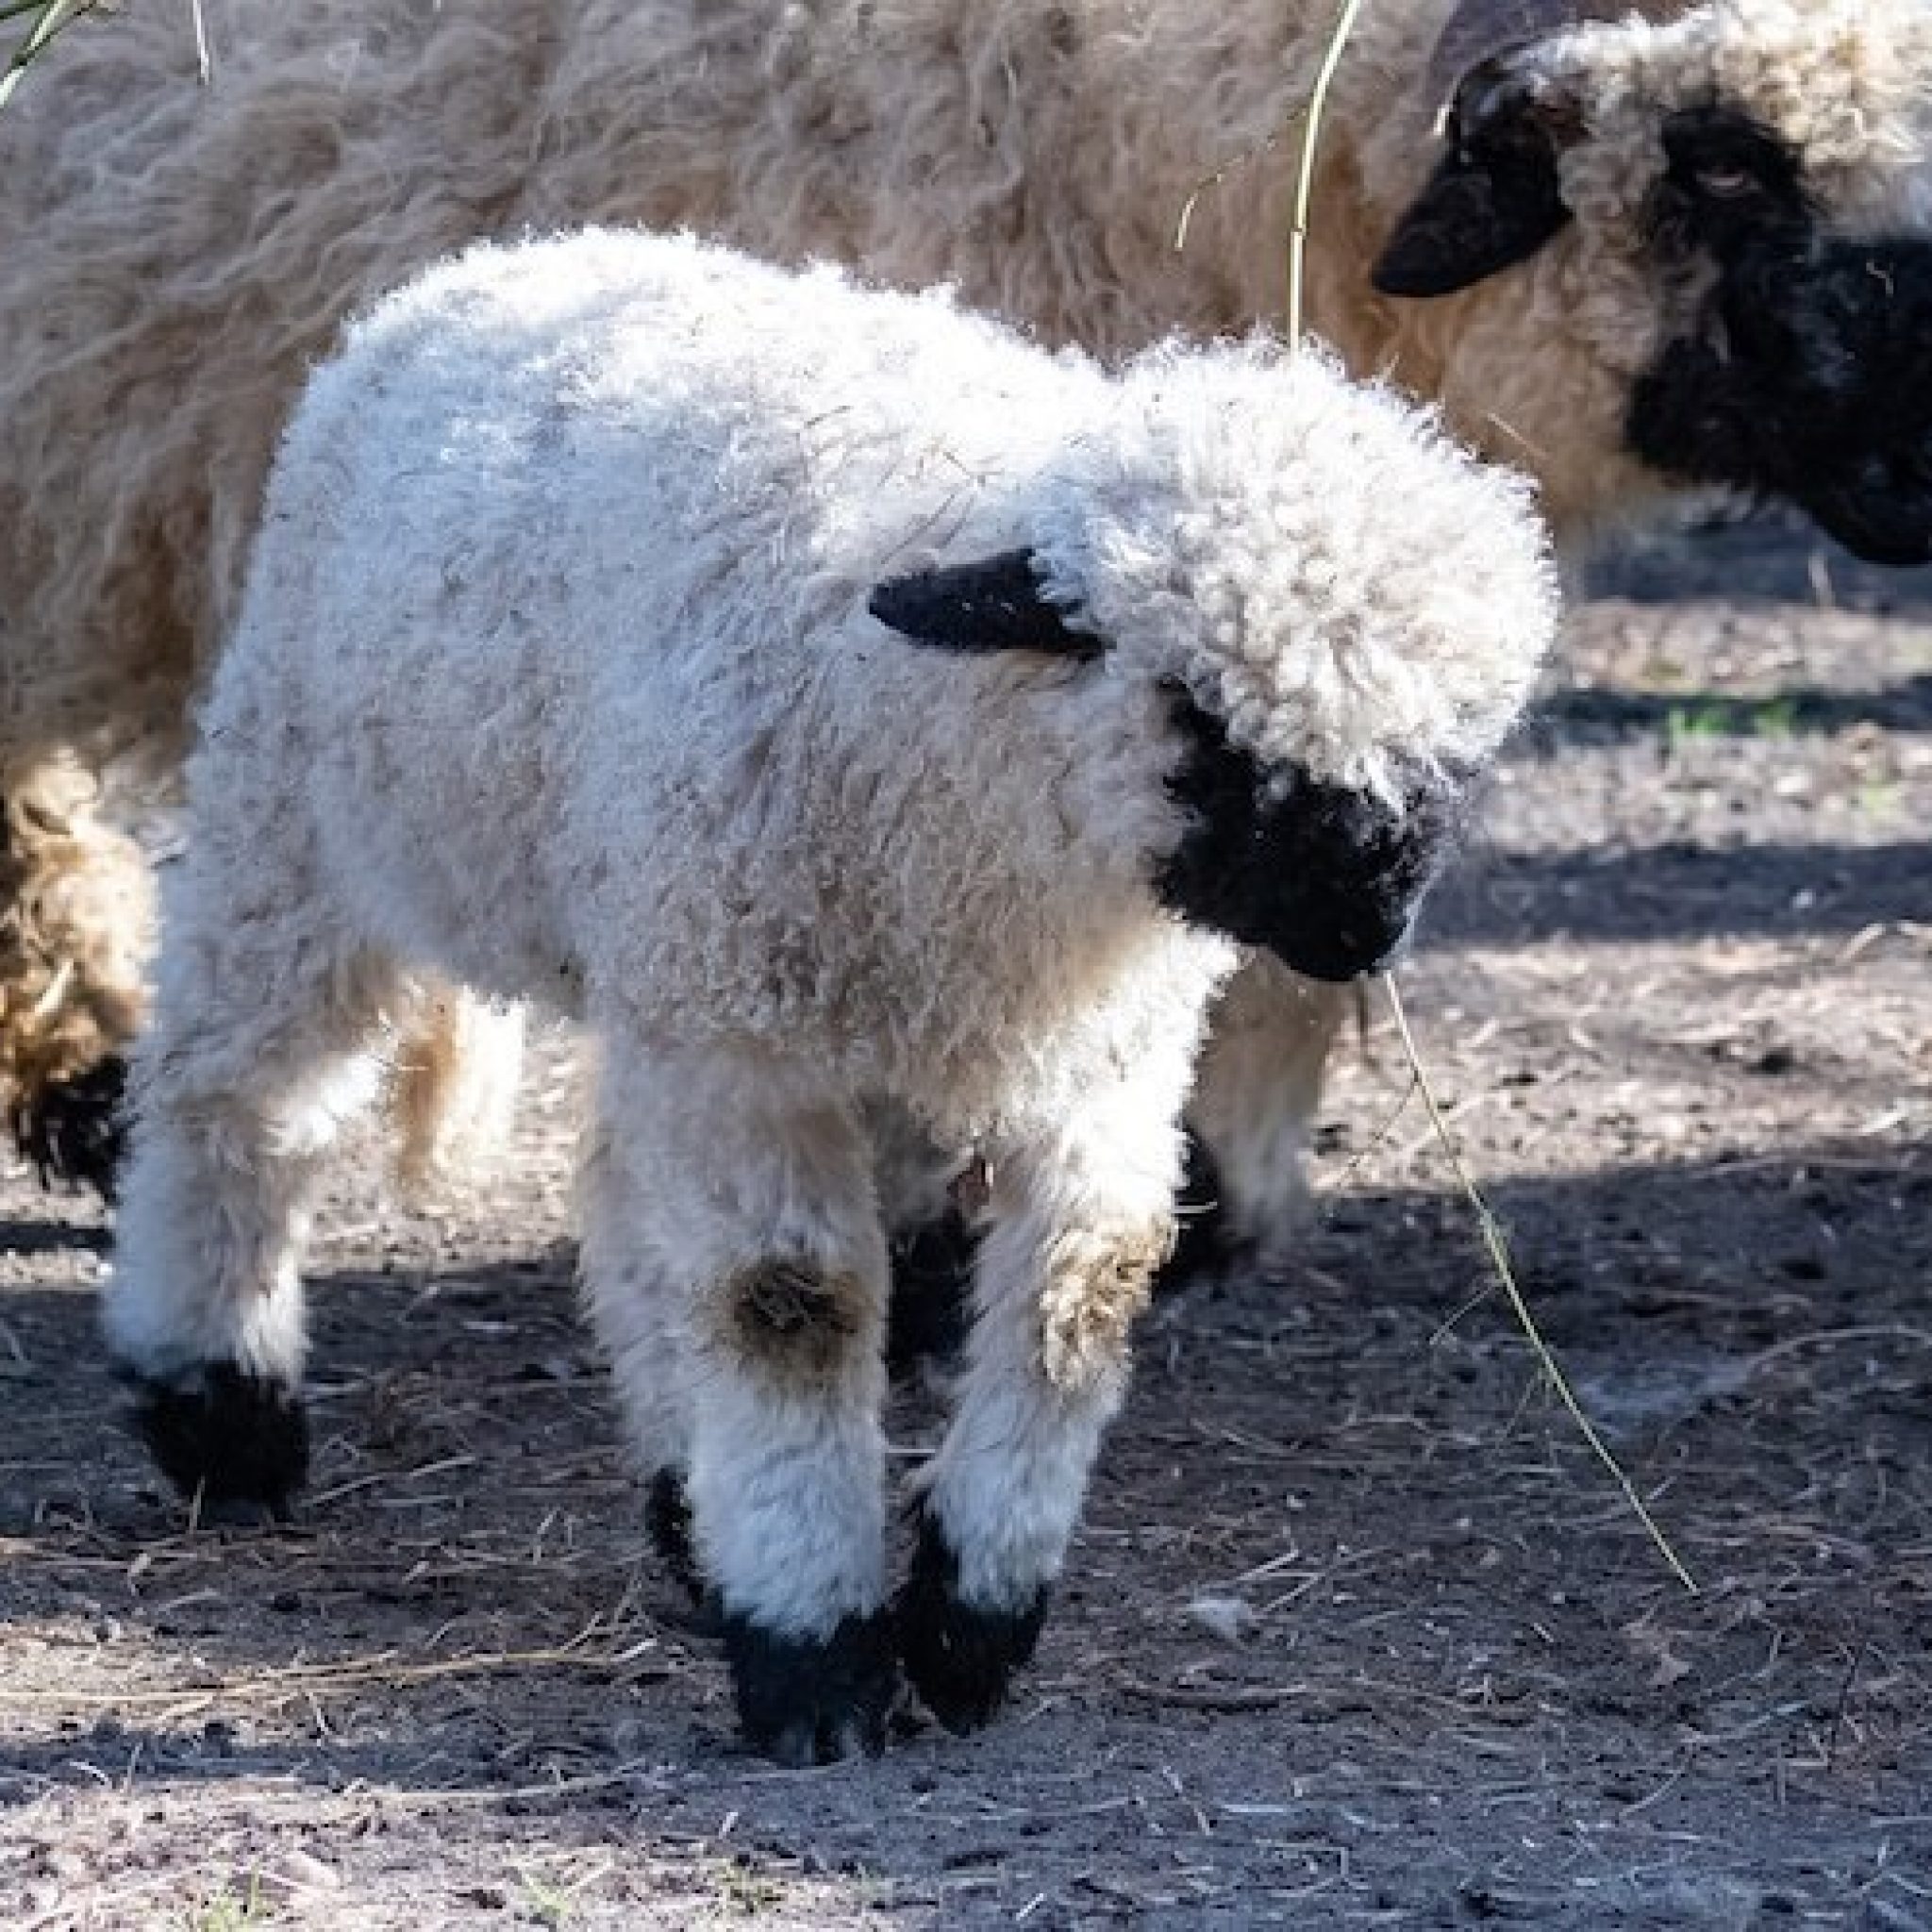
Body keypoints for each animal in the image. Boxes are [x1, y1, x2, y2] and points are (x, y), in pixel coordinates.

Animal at [102, 229, 1559, 1760]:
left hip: (658, 960)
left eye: (1456, 749)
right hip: (310, 812)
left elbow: (1081, 1289)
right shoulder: (754, 1041)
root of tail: (524, 256)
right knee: (238, 1092)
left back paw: (684, 1502)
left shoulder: (1099, 1058)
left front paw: (971, 1619)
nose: (1365, 929)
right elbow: (787, 1304)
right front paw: (816, 1658)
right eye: (1194, 711)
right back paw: (220, 1414)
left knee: (618, 1199)